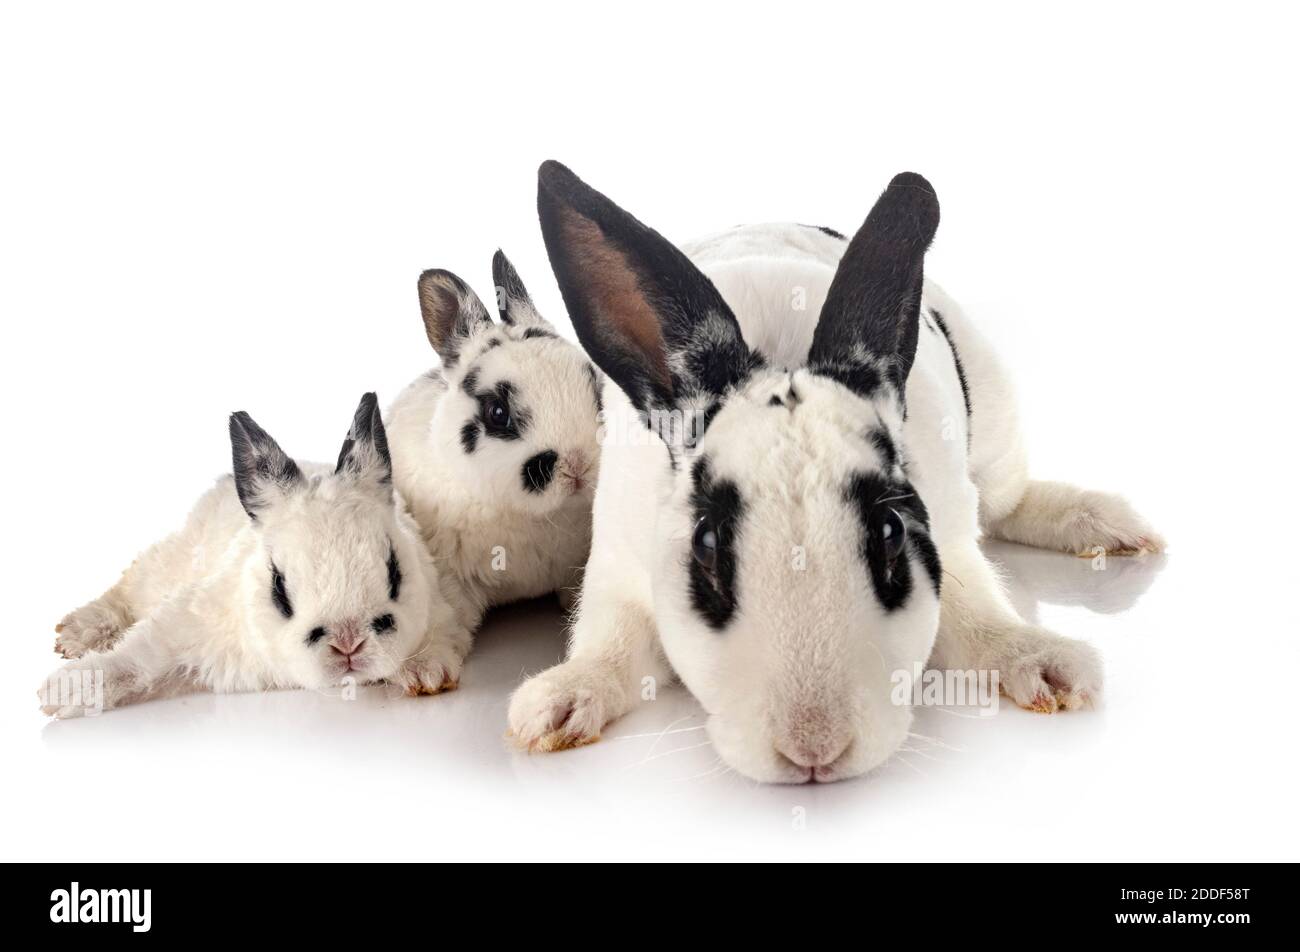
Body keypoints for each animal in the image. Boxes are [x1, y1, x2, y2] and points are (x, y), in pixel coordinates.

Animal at [41, 393, 470, 717]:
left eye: (395, 573)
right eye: (279, 588)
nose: (348, 643)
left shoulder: (446, 604)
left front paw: (424, 674)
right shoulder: (185, 623)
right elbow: (136, 659)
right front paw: (61, 692)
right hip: (168, 564)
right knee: (130, 584)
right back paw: (76, 633)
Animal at [383, 250, 603, 637]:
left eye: (595, 386)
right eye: (498, 413)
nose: (578, 465)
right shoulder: (447, 577)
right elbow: (446, 620)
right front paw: (431, 657)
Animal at [507, 161, 1164, 782]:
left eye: (890, 534)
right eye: (707, 544)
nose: (814, 750)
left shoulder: (952, 540)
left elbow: (978, 615)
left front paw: (1047, 666)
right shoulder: (619, 569)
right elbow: (612, 644)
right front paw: (555, 706)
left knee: (1013, 502)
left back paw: (1110, 527)